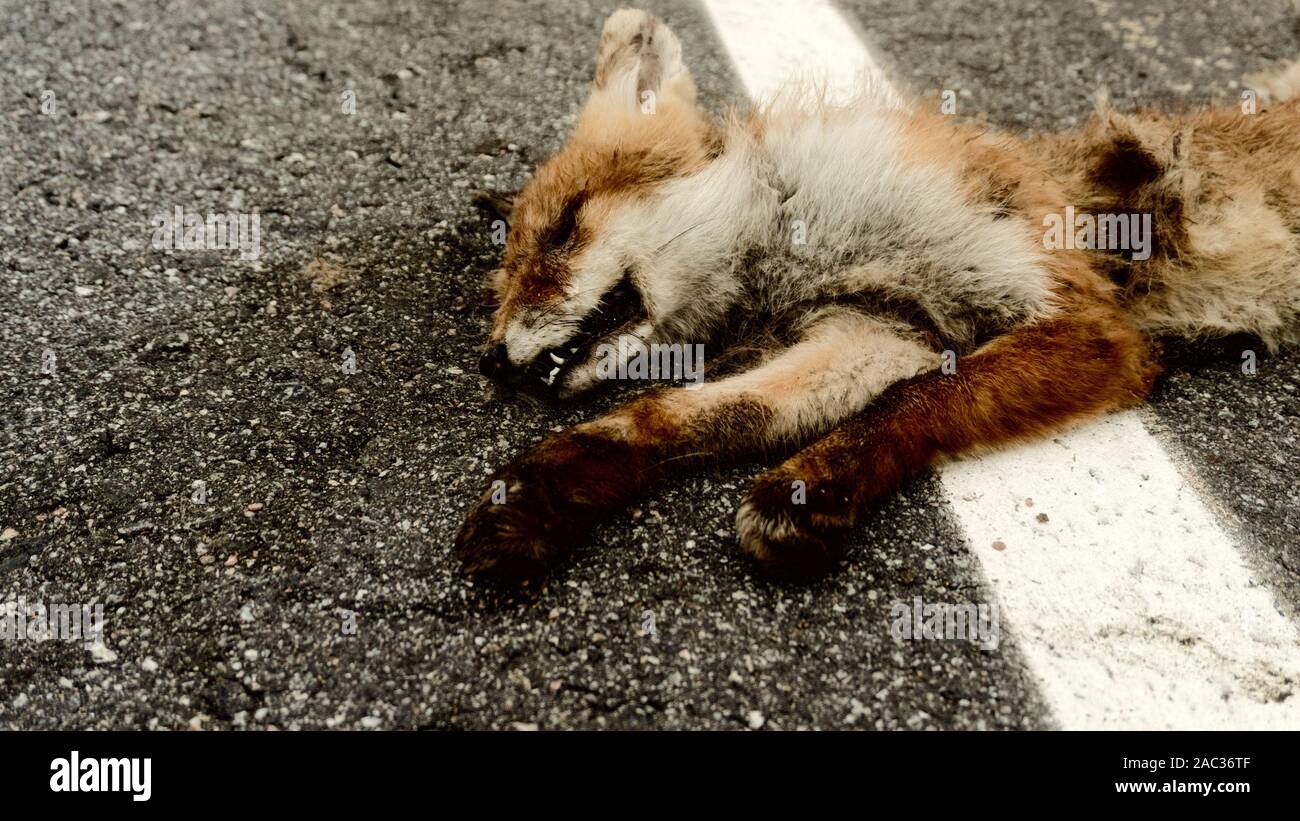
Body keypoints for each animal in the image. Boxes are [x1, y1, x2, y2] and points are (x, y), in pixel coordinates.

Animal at [454, 8, 1300, 585]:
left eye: (565, 229)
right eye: (504, 280)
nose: (492, 359)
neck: (799, 230)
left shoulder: (1088, 323)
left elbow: (918, 398)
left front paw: (810, 488)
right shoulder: (876, 330)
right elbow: (689, 413)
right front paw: (545, 488)